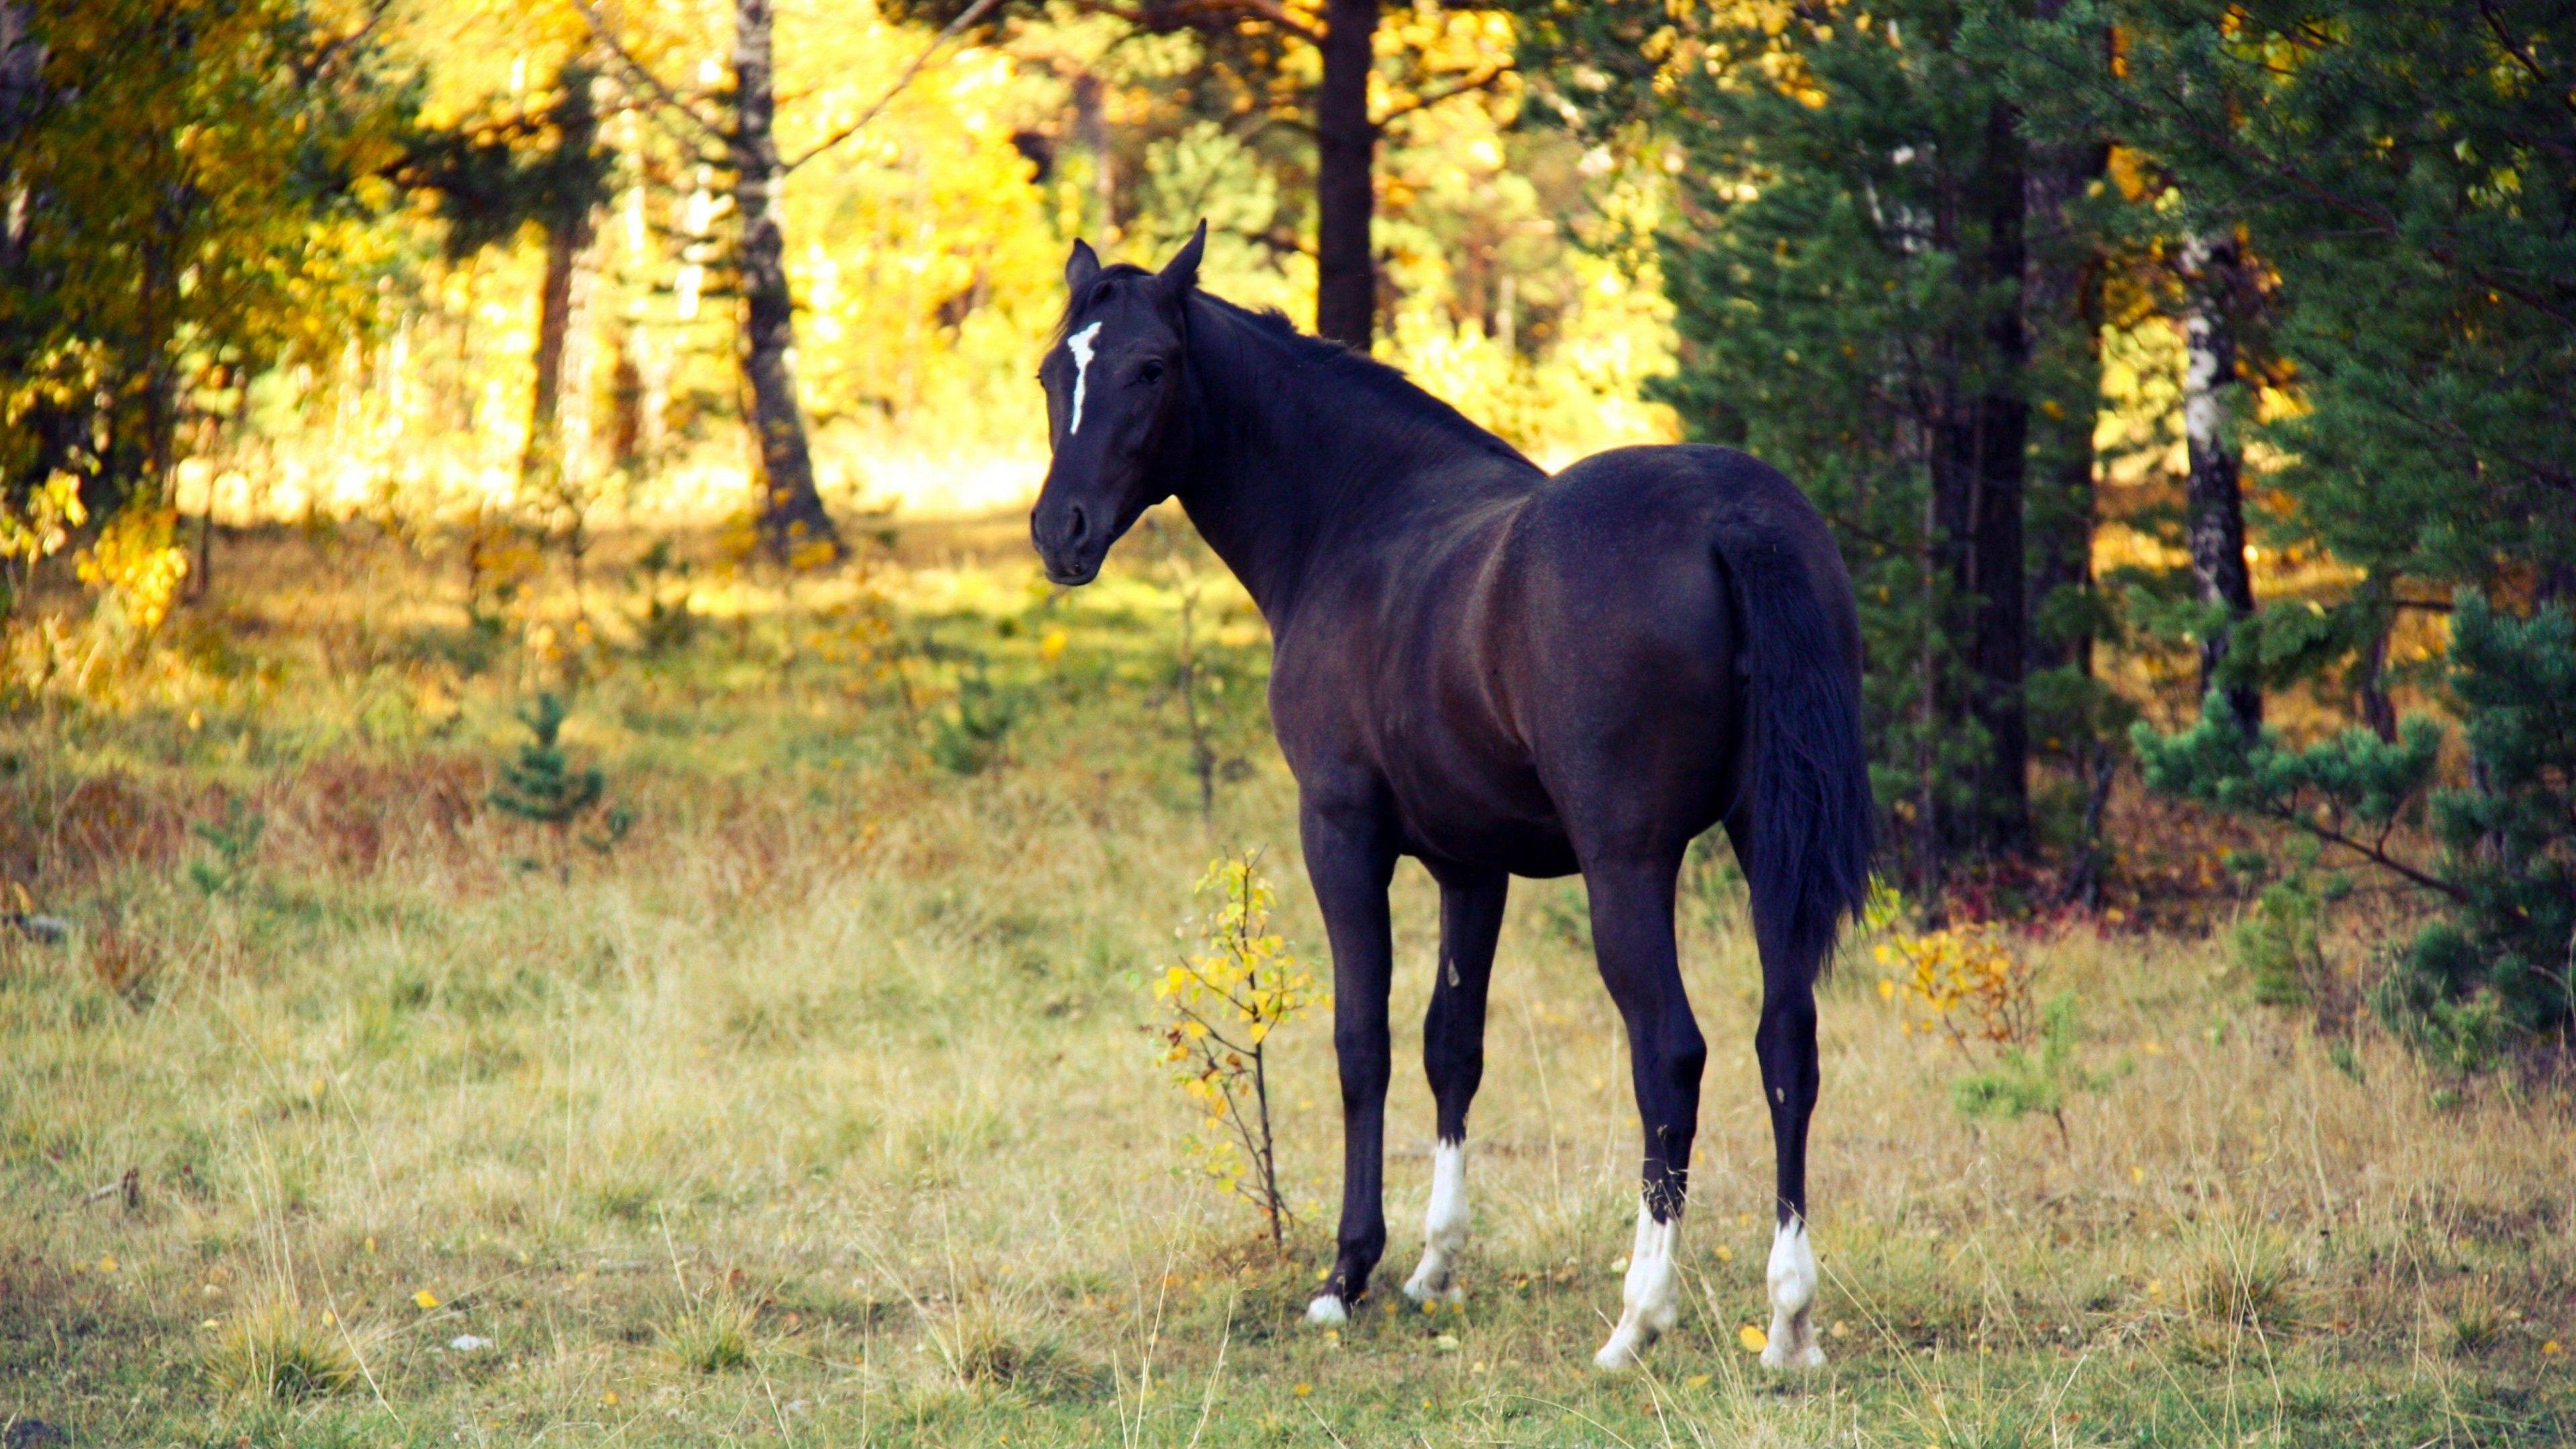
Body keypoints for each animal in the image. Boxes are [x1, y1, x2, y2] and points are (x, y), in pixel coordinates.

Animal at [1028, 223, 1873, 1370]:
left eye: (1150, 368)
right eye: (1051, 372)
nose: (1060, 532)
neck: (1356, 520)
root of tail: (1735, 516)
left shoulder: (1341, 835)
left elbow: (1364, 1044)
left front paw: (1348, 1273)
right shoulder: (1474, 866)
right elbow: (1452, 1047)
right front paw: (1435, 1267)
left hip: (1629, 866)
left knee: (1671, 1055)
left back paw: (1636, 1317)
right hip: (1763, 843)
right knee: (1787, 1040)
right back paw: (1788, 1322)